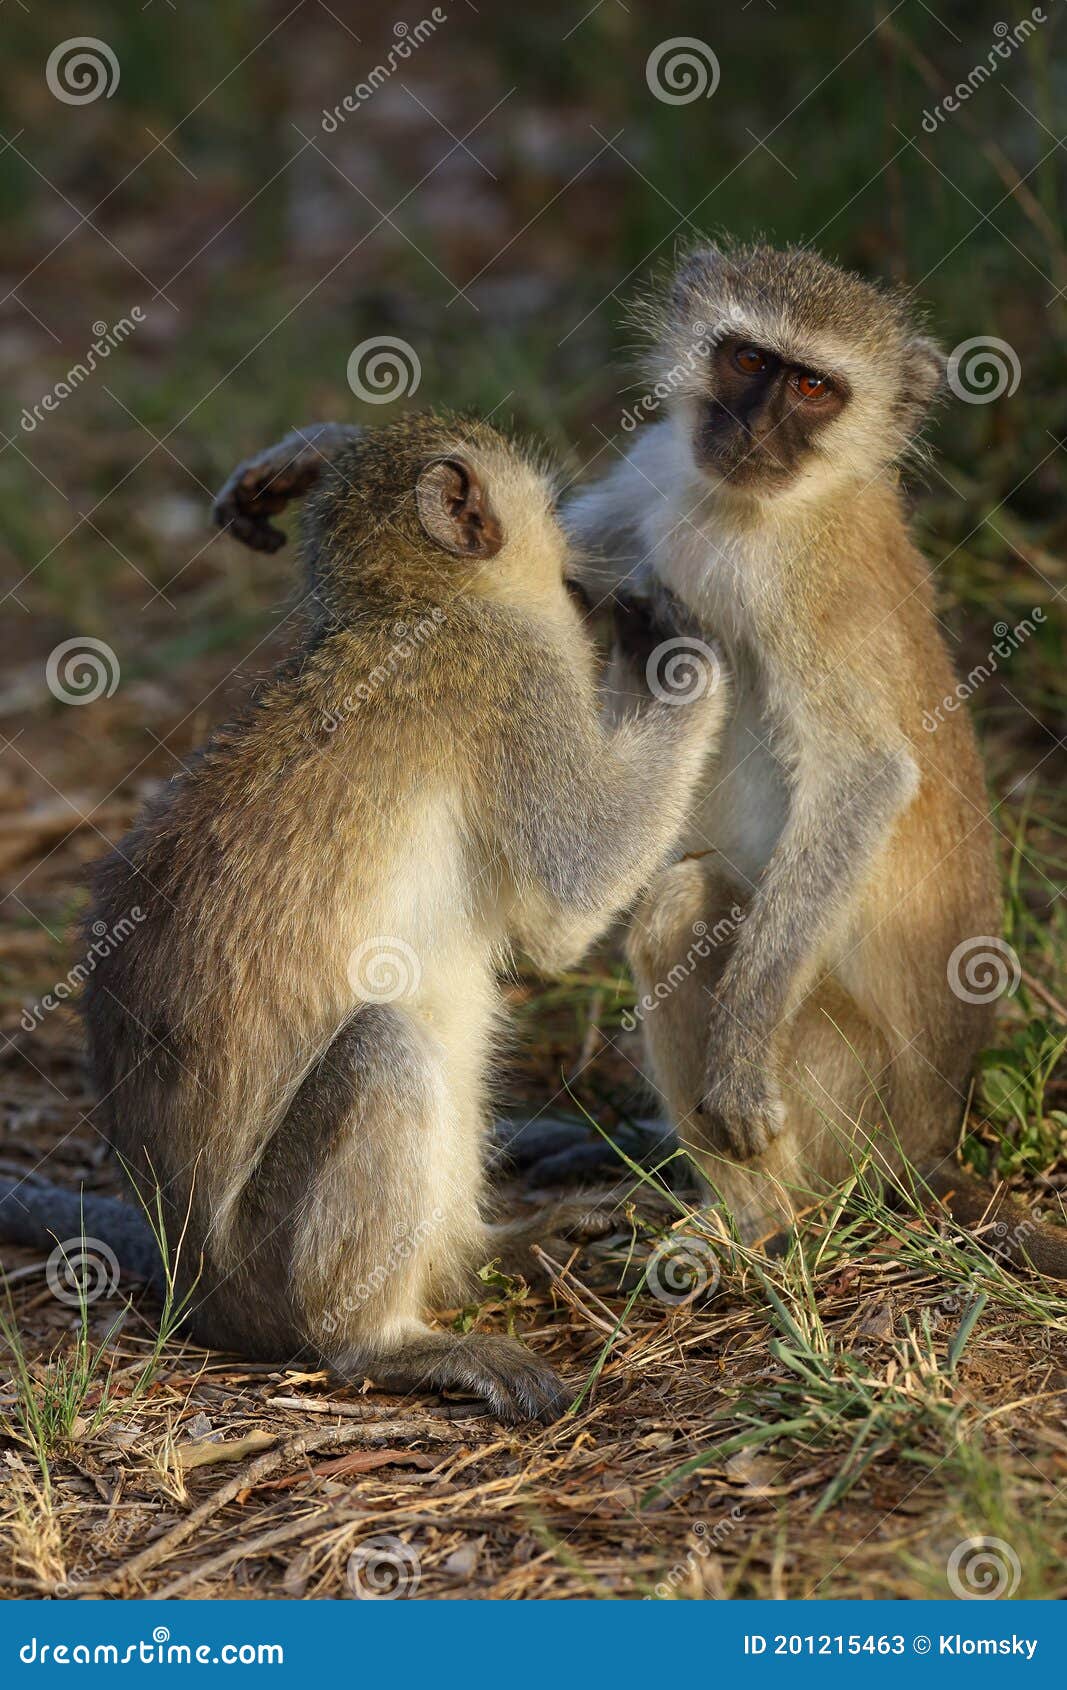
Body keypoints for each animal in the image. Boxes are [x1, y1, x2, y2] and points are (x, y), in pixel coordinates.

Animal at [0, 411, 728, 1421]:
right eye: (550, 512)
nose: (582, 572)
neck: (408, 602)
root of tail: (198, 1286)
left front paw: (310, 453)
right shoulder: (512, 672)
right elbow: (564, 909)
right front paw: (682, 651)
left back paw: (495, 1248)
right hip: (273, 1262)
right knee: (382, 1051)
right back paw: (385, 1344)